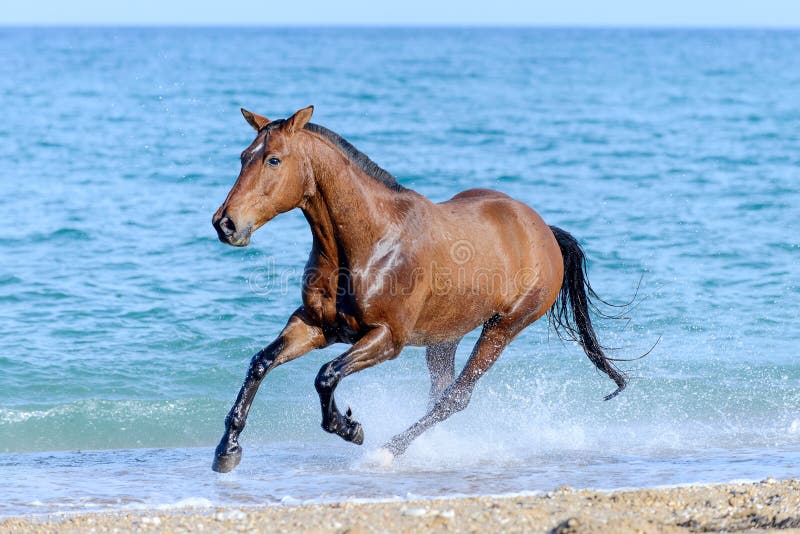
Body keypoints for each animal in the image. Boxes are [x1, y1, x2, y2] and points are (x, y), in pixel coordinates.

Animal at [210, 106, 627, 473]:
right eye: (244, 157)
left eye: (274, 160)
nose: (225, 224)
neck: (372, 243)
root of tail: (544, 232)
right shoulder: (314, 326)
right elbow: (261, 363)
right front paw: (227, 451)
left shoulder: (386, 338)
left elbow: (326, 375)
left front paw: (350, 428)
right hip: (445, 336)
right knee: (440, 393)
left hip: (503, 328)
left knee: (454, 398)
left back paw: (387, 451)